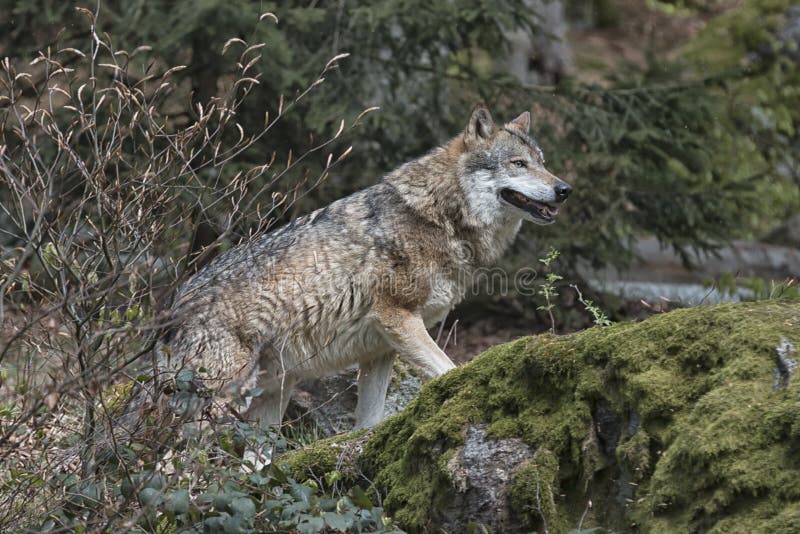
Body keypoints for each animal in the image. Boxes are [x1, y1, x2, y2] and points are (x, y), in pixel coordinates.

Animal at [167, 104, 572, 430]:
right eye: (518, 164)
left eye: (543, 162)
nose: (564, 189)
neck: (442, 217)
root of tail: (175, 301)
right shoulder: (398, 317)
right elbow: (450, 371)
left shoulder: (381, 350)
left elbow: (369, 422)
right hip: (221, 395)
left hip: (272, 394)